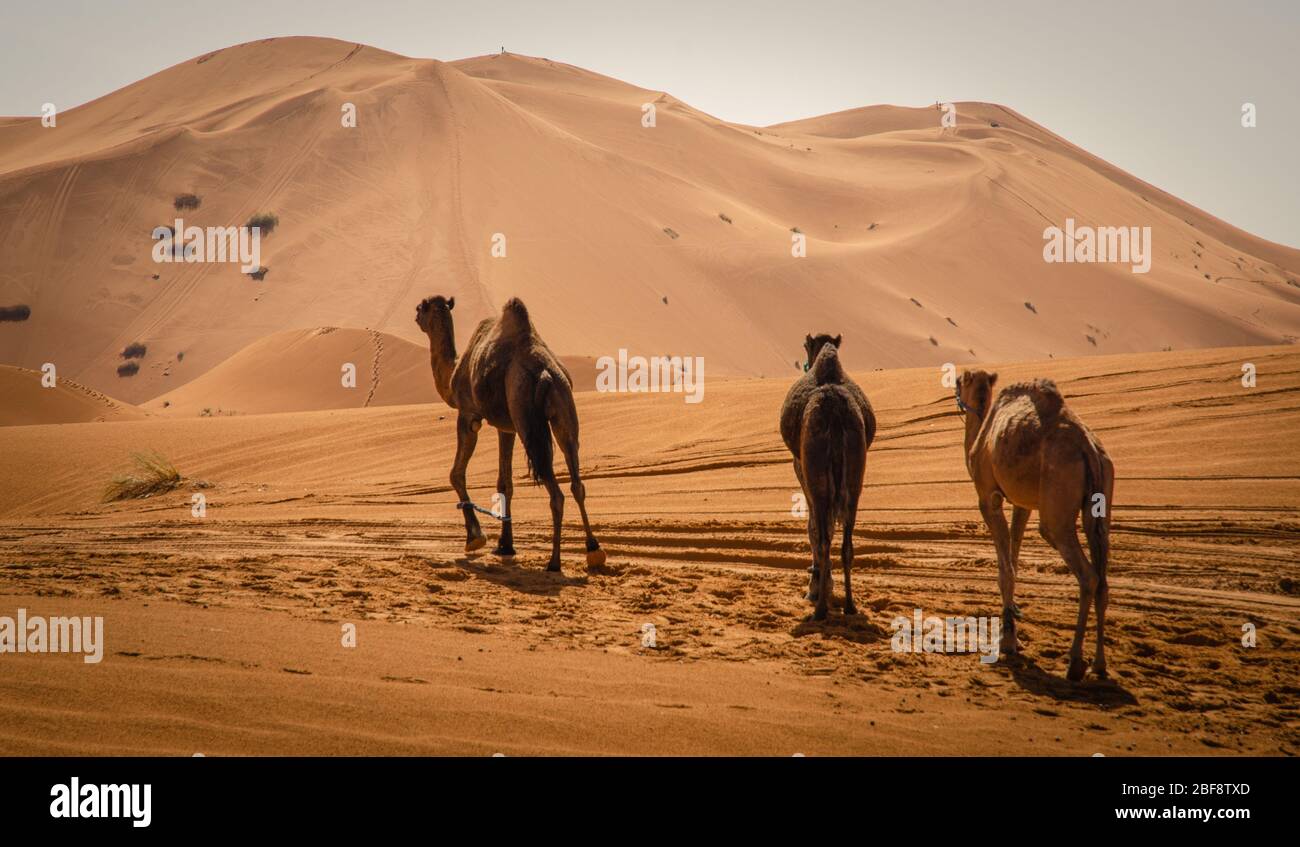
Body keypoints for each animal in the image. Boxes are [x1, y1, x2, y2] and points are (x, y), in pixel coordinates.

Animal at [415, 295, 605, 572]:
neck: (455, 369)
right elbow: (505, 483)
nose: (416, 315)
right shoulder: (506, 427)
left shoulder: (469, 415)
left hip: (526, 417)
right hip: (564, 409)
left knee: (556, 493)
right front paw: (505, 545)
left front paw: (475, 538)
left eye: (422, 306)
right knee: (576, 481)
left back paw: (554, 562)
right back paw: (594, 550)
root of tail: (545, 374)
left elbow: (456, 473)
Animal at [780, 334, 876, 619]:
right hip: (855, 473)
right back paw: (850, 605)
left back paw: (821, 607)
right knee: (847, 543)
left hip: (816, 468)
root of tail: (835, 413)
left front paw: (815, 587)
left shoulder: (800, 465)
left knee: (822, 536)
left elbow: (813, 527)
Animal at [956, 370, 1115, 681]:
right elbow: (1014, 555)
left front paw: (1008, 639)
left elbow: (1005, 568)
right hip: (1103, 498)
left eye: (959, 382)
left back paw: (1075, 662)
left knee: (1087, 574)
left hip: (1057, 507)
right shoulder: (1023, 502)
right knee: (1102, 577)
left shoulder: (988, 496)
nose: (954, 386)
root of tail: (1088, 450)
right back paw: (1099, 665)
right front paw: (1009, 630)